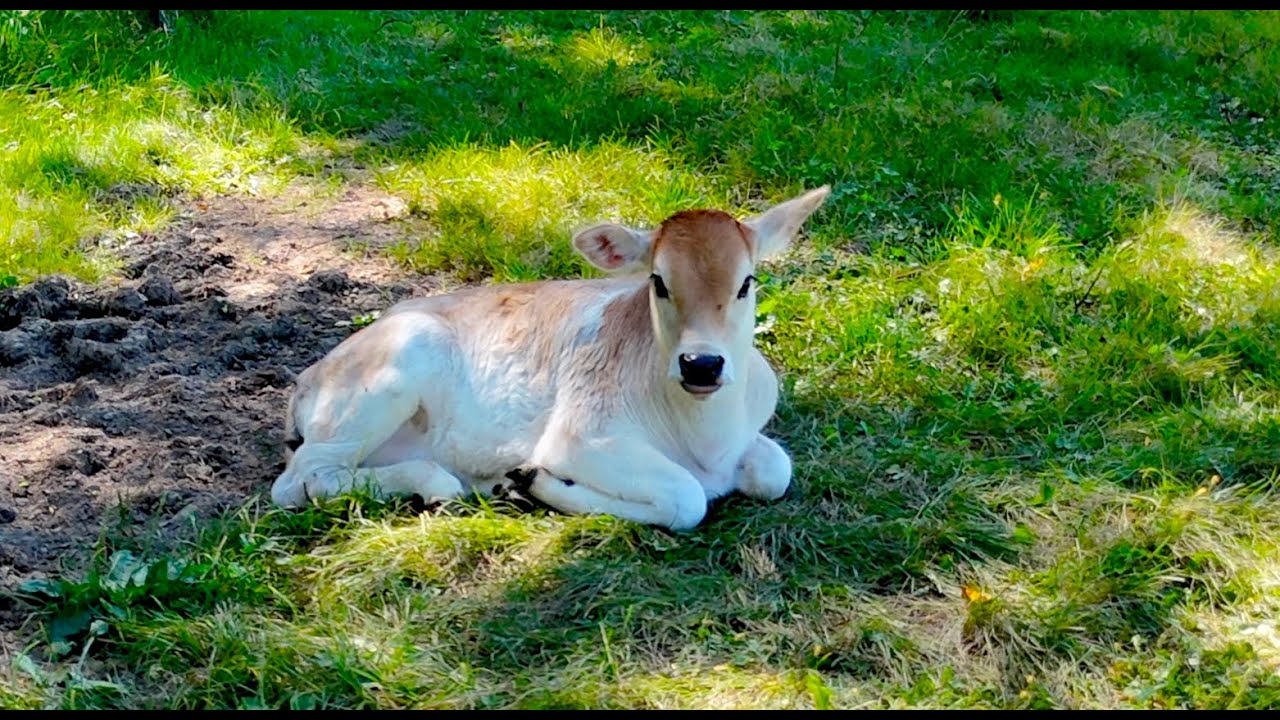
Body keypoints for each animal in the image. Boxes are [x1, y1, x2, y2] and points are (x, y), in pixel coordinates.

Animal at [270, 186, 831, 530]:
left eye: (746, 282)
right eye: (658, 281)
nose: (701, 364)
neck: (706, 440)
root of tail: (310, 377)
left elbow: (775, 470)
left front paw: (523, 484)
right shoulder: (580, 436)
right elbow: (688, 499)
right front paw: (537, 480)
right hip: (381, 380)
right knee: (302, 479)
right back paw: (442, 483)